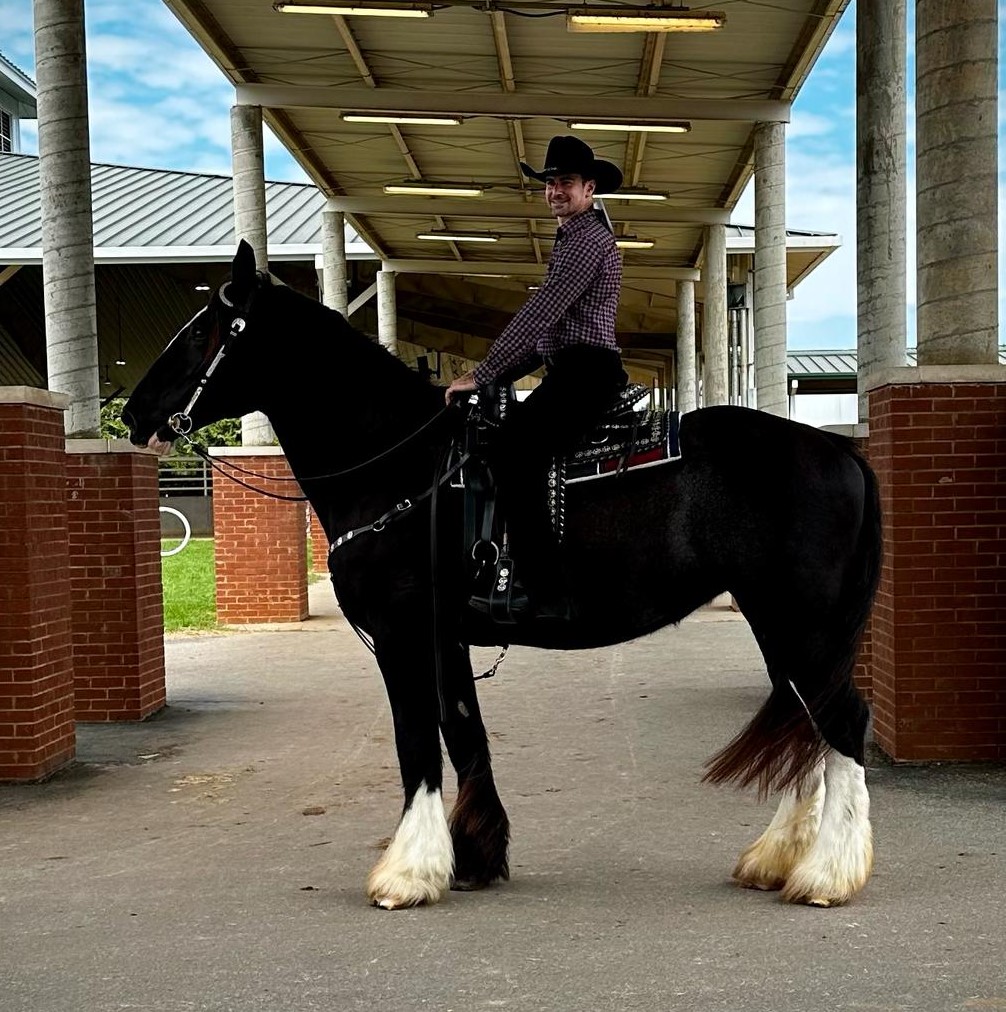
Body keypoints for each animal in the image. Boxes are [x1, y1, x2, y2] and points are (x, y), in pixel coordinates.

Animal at [123, 240, 881, 910]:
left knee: (839, 722)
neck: (403, 468)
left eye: (202, 330)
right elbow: (464, 735)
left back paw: (827, 876)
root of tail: (837, 451)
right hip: (783, 625)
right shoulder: (445, 638)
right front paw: (472, 858)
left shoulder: (401, 636)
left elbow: (416, 744)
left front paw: (407, 875)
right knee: (807, 727)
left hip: (799, 623)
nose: (132, 414)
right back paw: (778, 860)